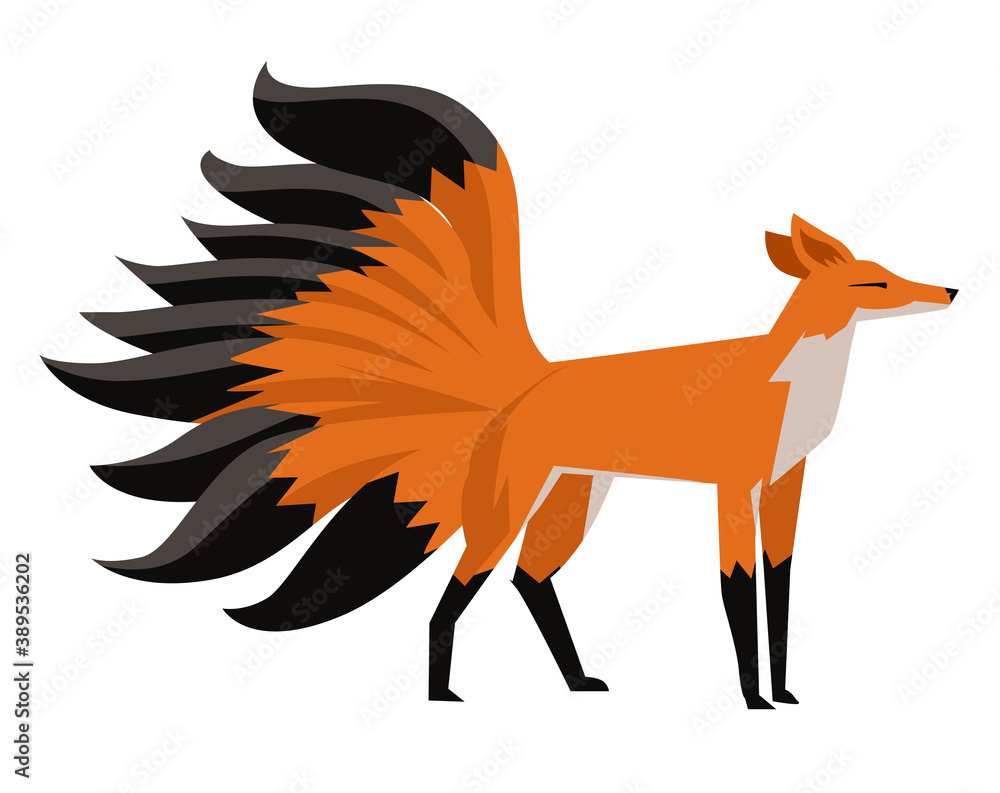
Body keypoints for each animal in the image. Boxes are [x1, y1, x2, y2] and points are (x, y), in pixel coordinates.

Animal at [44, 66, 957, 709]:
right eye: (872, 284)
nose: (947, 290)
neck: (794, 380)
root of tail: (520, 384)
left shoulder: (787, 485)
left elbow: (782, 592)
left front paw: (785, 690)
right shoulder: (735, 485)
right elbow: (739, 596)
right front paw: (752, 699)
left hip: (574, 493)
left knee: (530, 579)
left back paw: (576, 682)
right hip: (516, 498)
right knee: (461, 592)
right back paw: (443, 693)